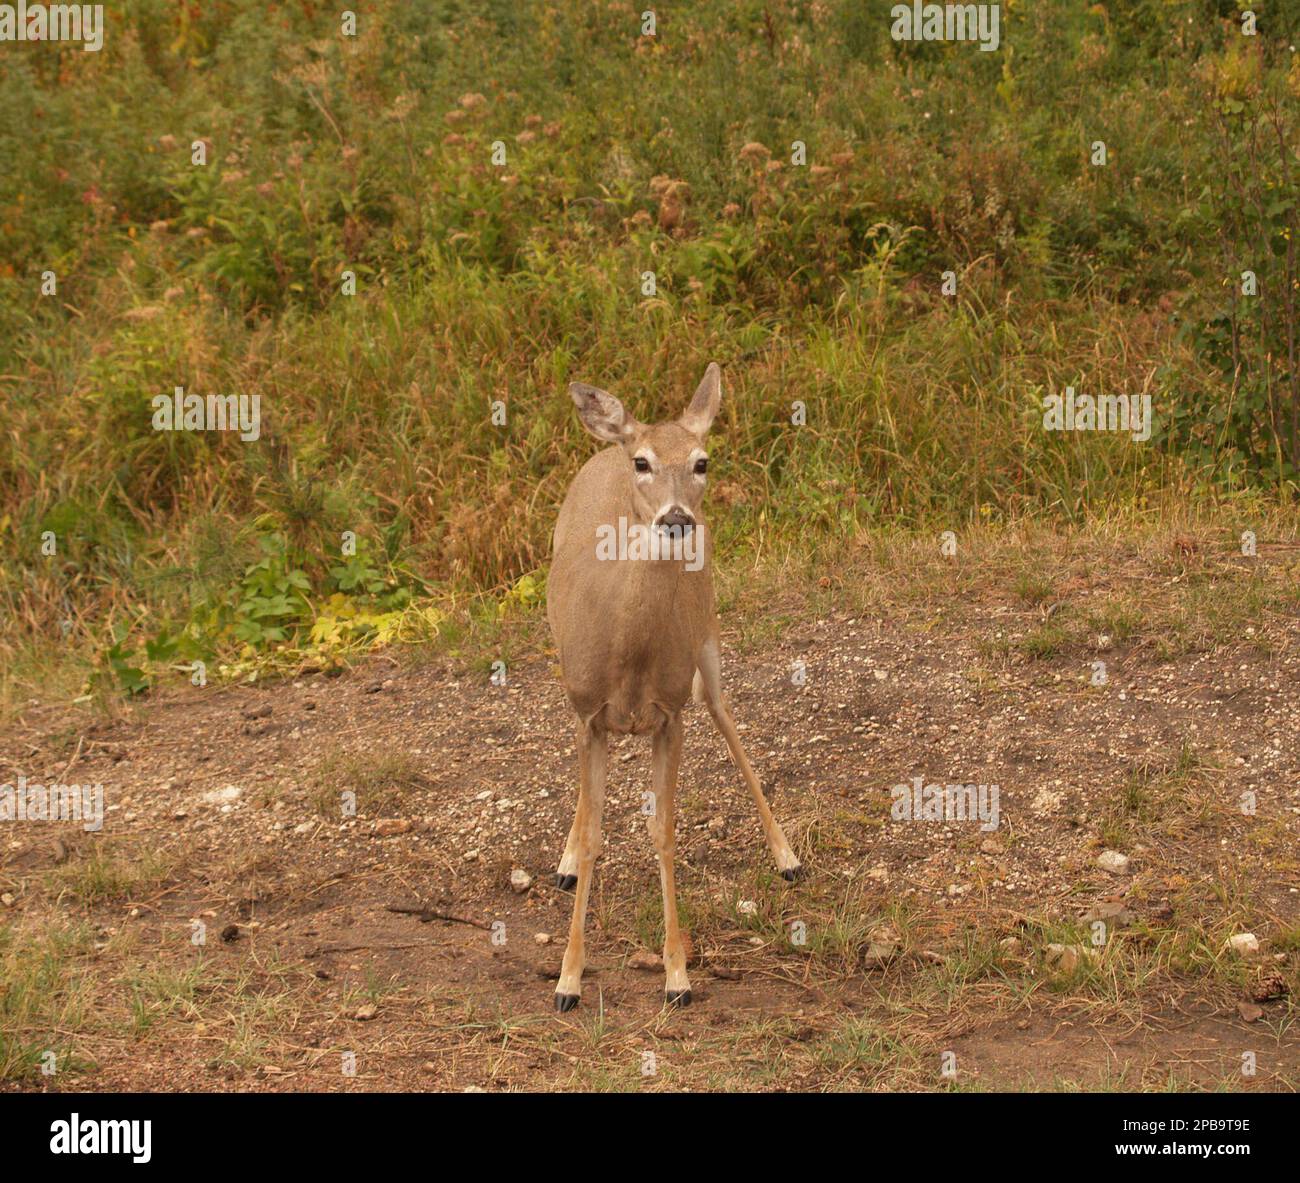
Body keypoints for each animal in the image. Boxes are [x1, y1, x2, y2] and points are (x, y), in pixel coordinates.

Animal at [546, 361, 802, 1012]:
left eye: (702, 461)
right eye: (642, 462)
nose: (676, 519)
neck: (629, 654)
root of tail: (601, 446)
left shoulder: (671, 712)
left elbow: (663, 834)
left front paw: (678, 975)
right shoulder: (589, 712)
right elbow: (596, 837)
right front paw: (567, 980)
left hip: (707, 631)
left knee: (725, 712)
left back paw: (787, 856)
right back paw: (564, 859)